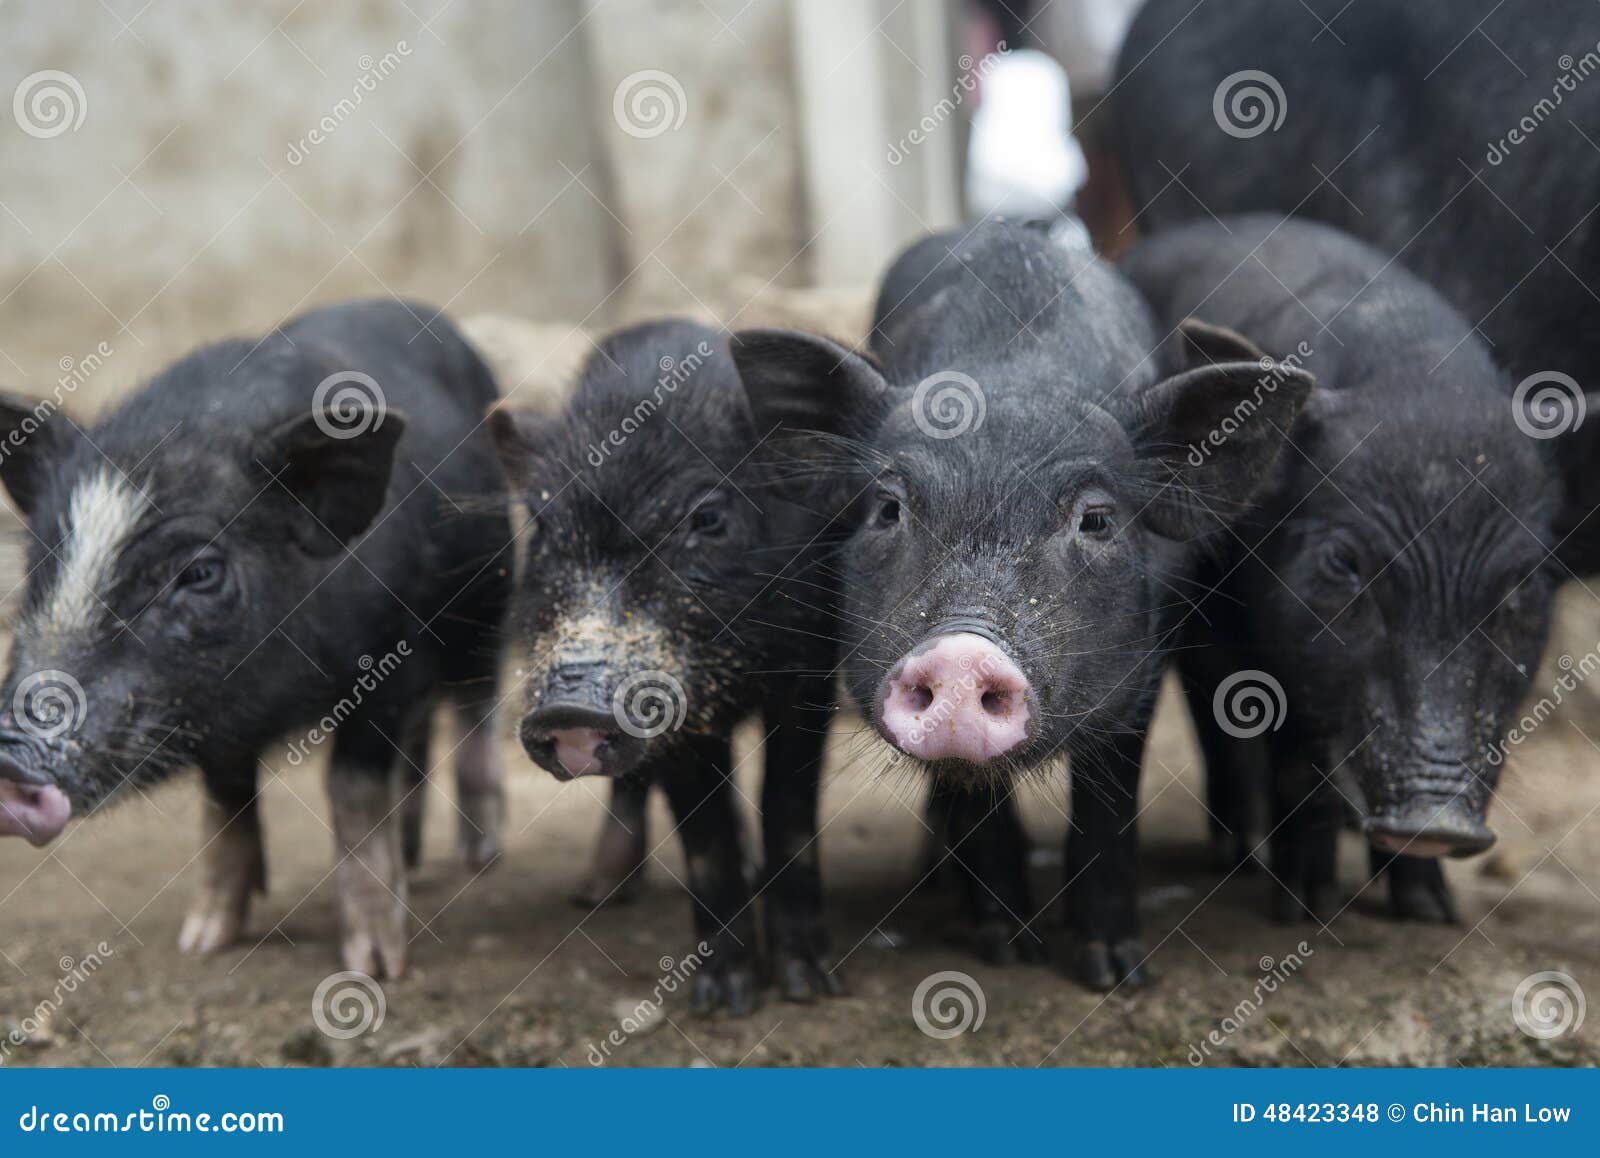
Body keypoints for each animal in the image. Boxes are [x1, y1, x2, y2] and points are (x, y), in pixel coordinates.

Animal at [0, 299, 510, 978]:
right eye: (40, 561)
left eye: (199, 573)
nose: (8, 752)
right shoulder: (216, 715)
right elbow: (225, 803)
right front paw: (203, 941)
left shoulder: (389, 660)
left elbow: (352, 789)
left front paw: (374, 967)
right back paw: (414, 859)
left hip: (490, 595)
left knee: (475, 703)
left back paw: (482, 857)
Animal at [488, 319, 844, 1014]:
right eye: (541, 531)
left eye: (706, 519)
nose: (568, 706)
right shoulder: (674, 721)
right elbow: (704, 835)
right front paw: (723, 1001)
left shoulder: (811, 672)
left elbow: (789, 808)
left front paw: (809, 986)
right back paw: (597, 893)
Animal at [730, 220, 1312, 988]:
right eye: (888, 509)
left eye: (1096, 520)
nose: (960, 652)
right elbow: (978, 801)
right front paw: (1007, 947)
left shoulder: (1147, 661)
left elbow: (1111, 795)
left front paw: (1112, 971)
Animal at [1120, 215, 1561, 922]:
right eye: (1343, 562)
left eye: (1524, 584)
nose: (1436, 822)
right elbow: (1294, 764)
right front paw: (1304, 908)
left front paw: (1431, 915)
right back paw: (1238, 858)